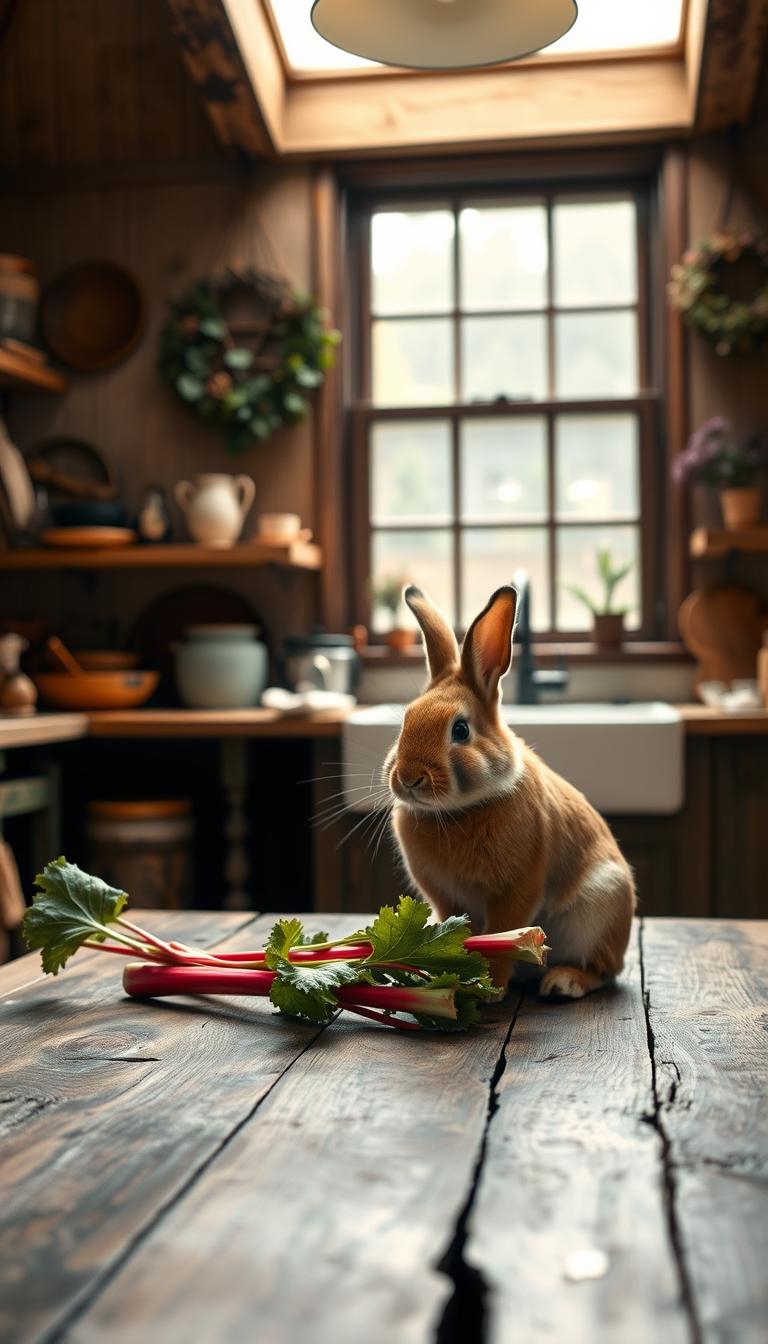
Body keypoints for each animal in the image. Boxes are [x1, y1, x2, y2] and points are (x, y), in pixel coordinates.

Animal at [384, 583, 636, 998]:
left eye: (460, 730)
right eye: (405, 721)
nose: (409, 778)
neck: (459, 810)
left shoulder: (518, 889)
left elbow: (502, 938)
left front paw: (489, 989)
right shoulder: (445, 898)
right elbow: (463, 935)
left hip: (599, 910)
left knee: (603, 971)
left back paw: (563, 982)